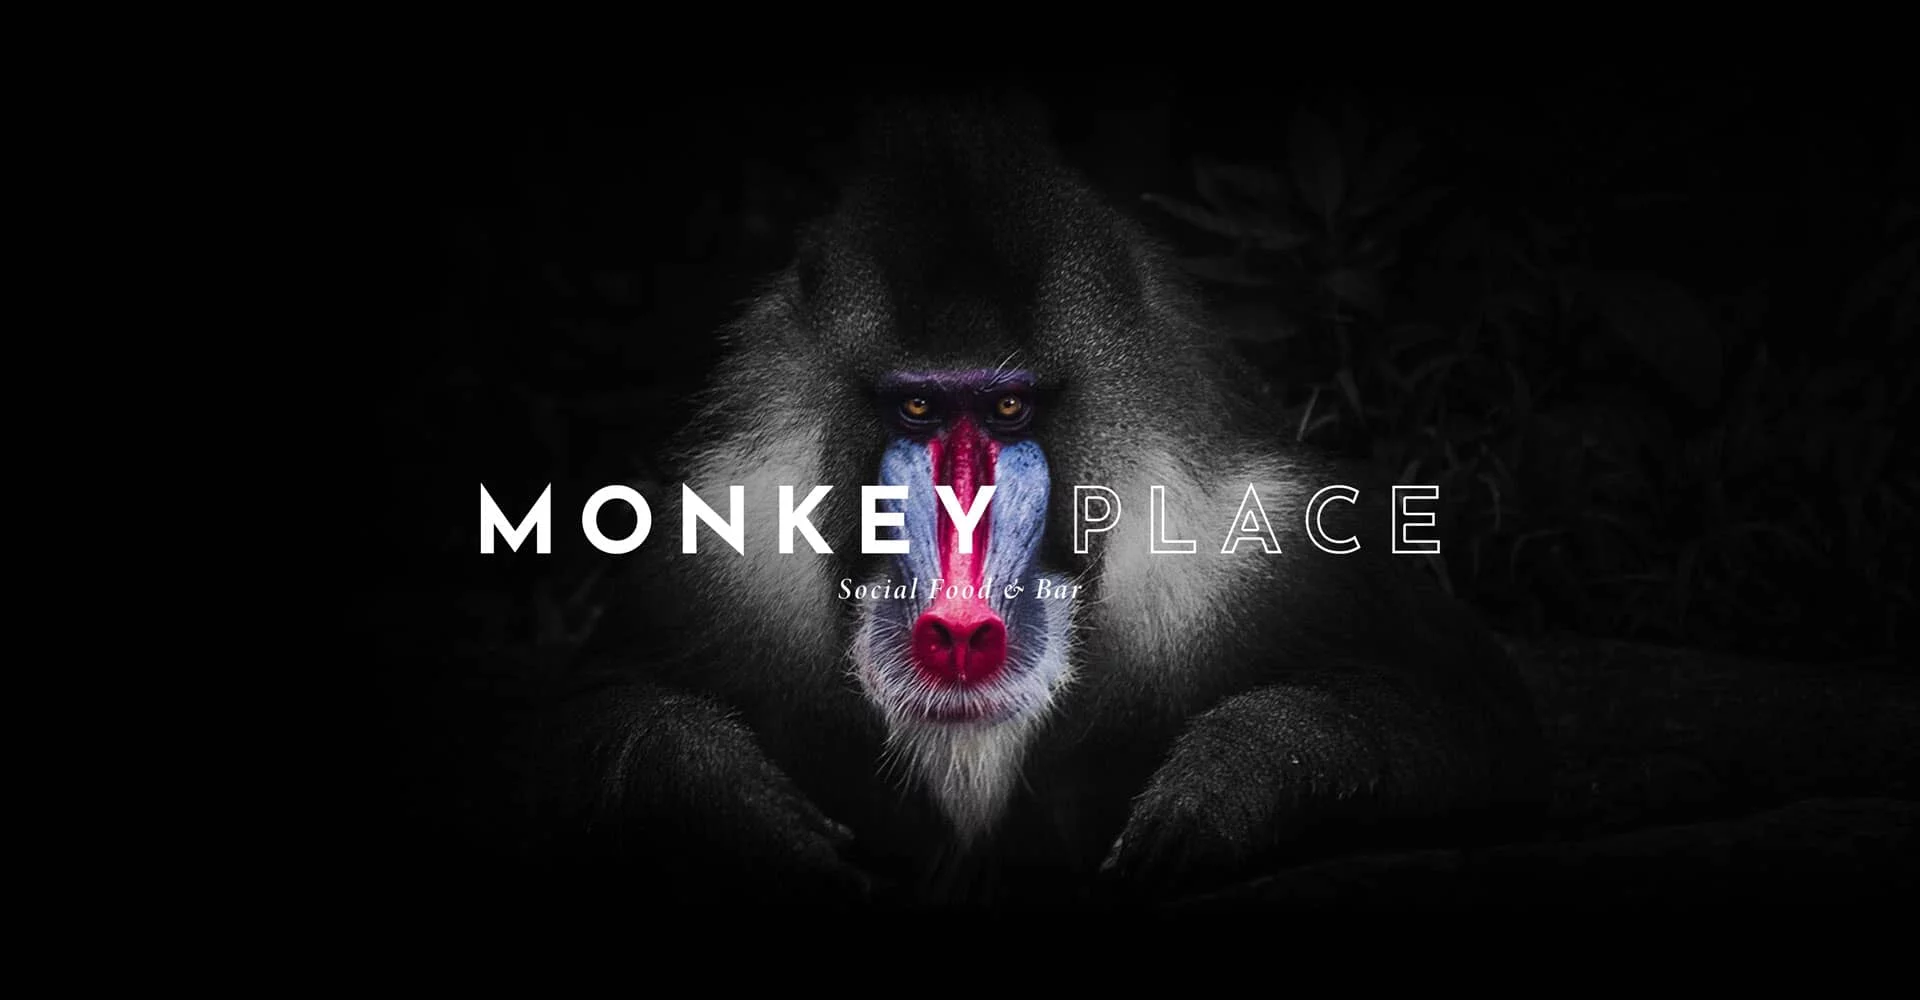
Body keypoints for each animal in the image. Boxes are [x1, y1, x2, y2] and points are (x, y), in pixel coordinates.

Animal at [531, 97, 1549, 907]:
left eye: (1010, 408)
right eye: (917, 408)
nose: (958, 628)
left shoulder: (1268, 552)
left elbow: (1477, 726)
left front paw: (1228, 780)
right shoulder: (718, 550)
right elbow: (586, 719)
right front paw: (743, 815)